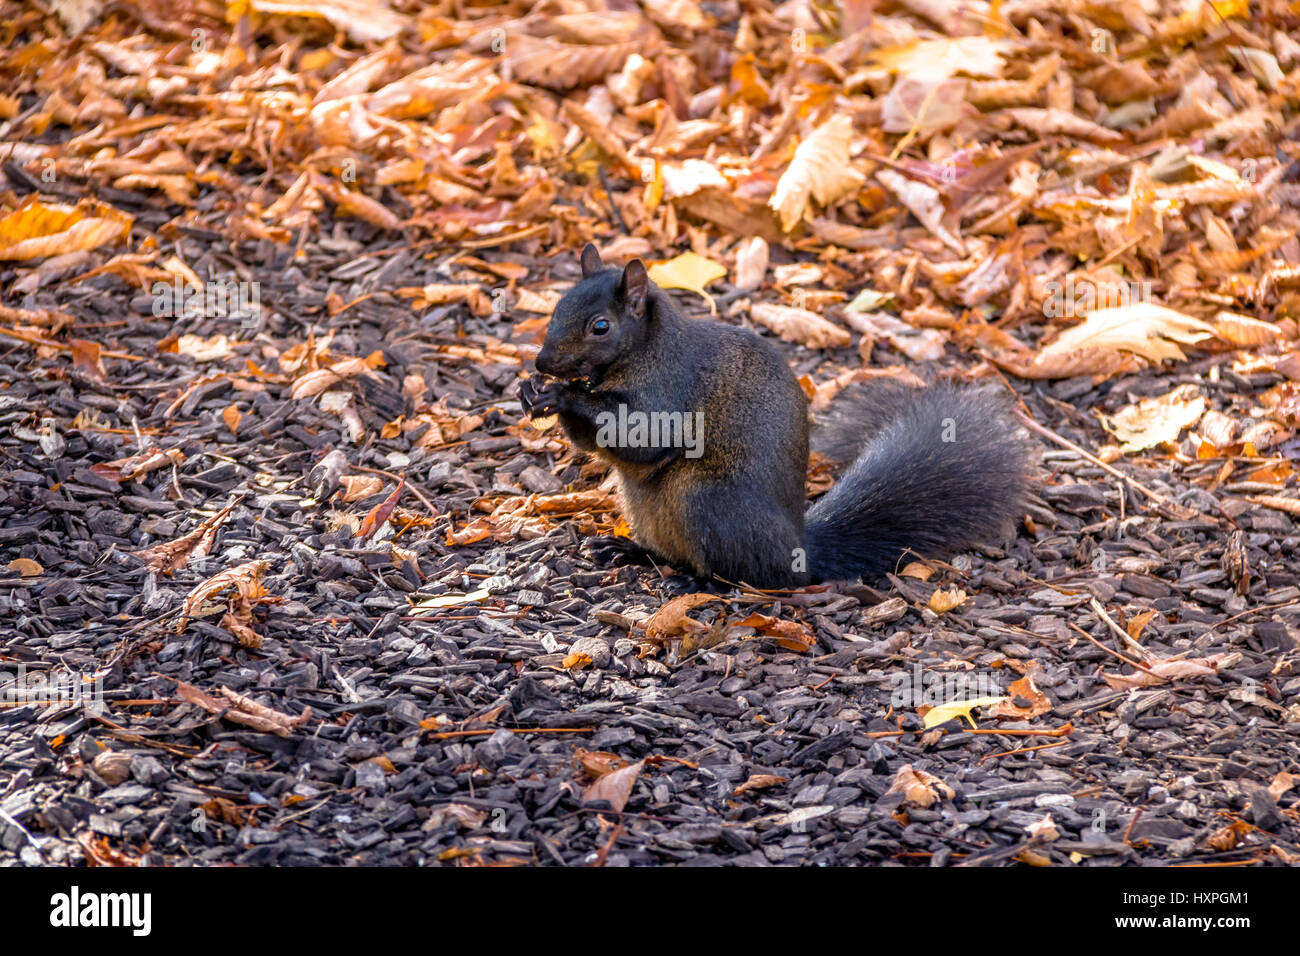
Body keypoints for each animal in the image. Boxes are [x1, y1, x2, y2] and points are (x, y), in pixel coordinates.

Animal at [518, 244, 1035, 589]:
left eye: (600, 326)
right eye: (558, 307)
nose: (543, 362)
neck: (640, 353)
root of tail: (796, 554)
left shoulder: (672, 389)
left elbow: (642, 437)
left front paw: (563, 395)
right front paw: (532, 393)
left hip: (707, 501)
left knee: (743, 576)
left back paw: (698, 582)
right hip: (646, 509)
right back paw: (629, 550)